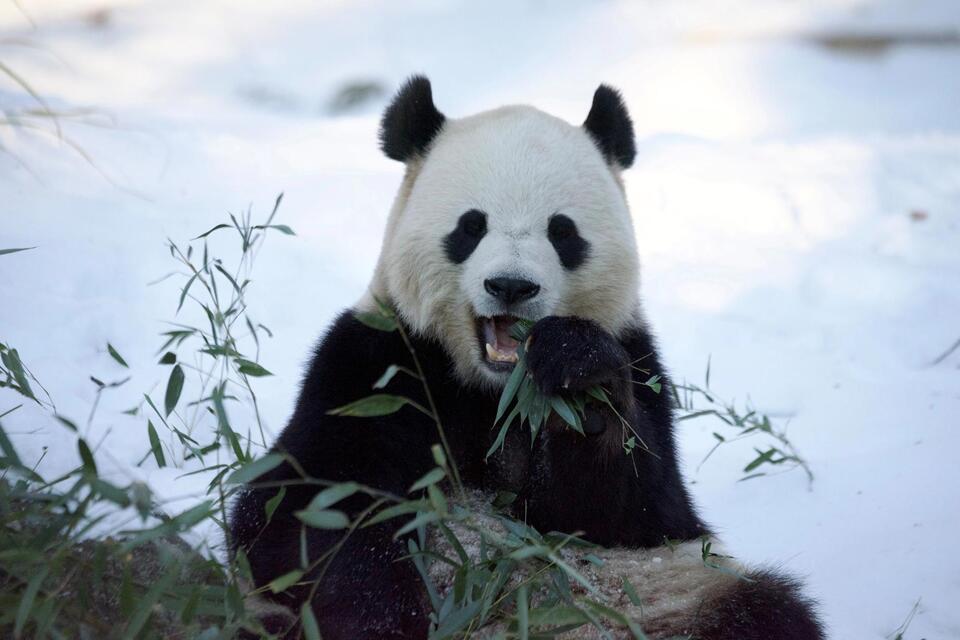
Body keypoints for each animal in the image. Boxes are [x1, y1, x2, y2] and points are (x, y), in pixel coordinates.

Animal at [228, 76, 825, 640]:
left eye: (563, 232)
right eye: (471, 226)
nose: (511, 286)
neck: (490, 388)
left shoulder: (640, 364)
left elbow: (635, 512)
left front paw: (578, 376)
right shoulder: (374, 367)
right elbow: (304, 510)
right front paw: (383, 619)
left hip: (672, 594)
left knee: (764, 610)